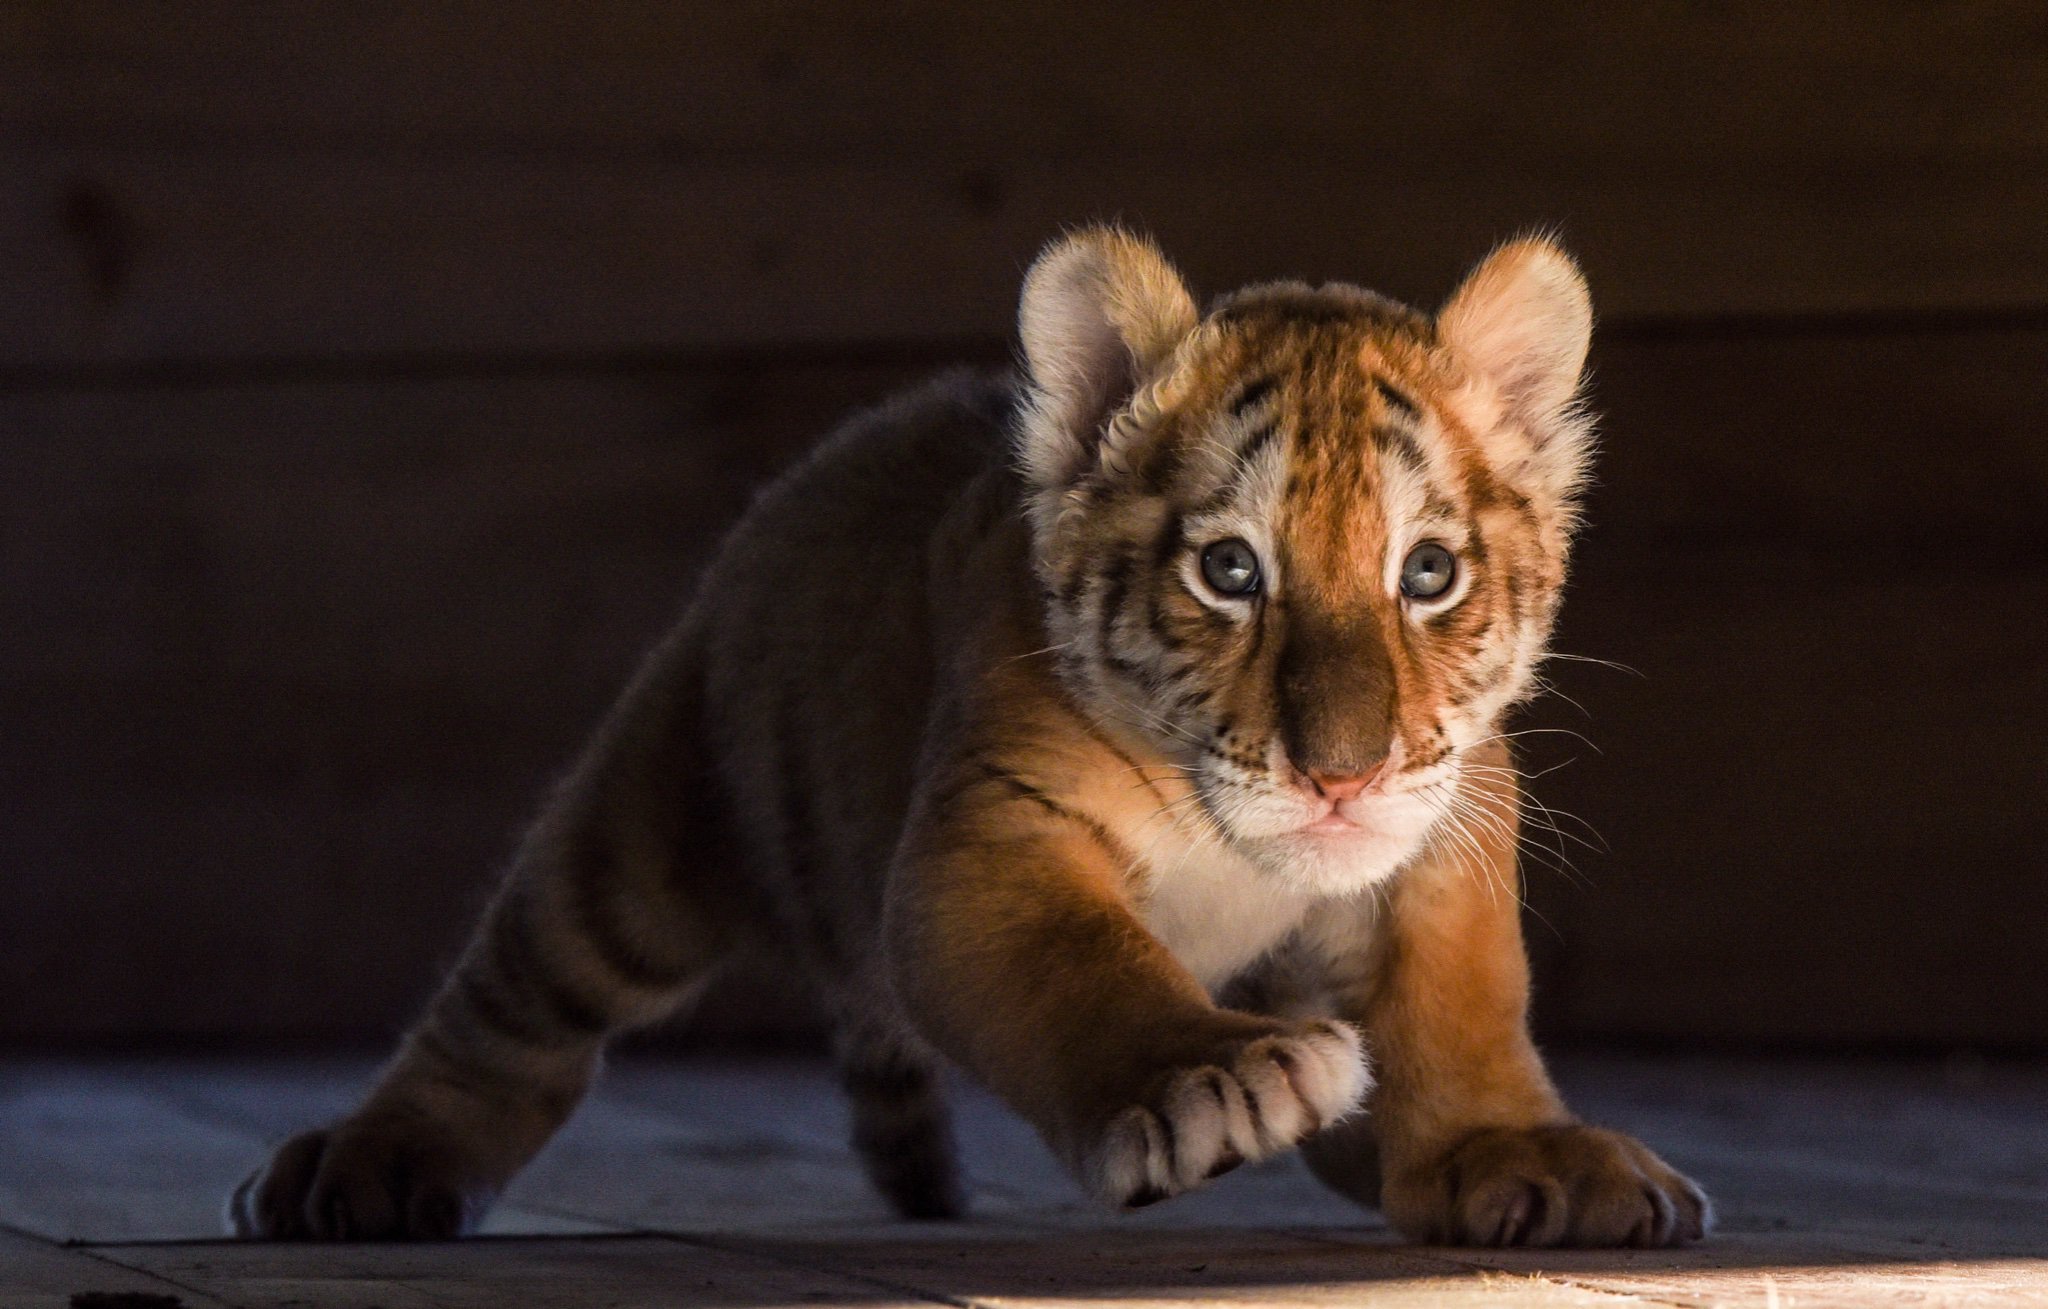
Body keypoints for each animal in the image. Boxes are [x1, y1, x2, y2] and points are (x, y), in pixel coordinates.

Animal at [231, 227, 1710, 1248]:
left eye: (1429, 574)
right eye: (1230, 571)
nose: (1342, 774)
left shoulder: (1443, 831)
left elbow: (1461, 1005)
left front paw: (1521, 1153)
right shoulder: (987, 844)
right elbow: (1084, 966)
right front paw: (1216, 1077)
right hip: (636, 834)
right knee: (507, 1008)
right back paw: (364, 1167)